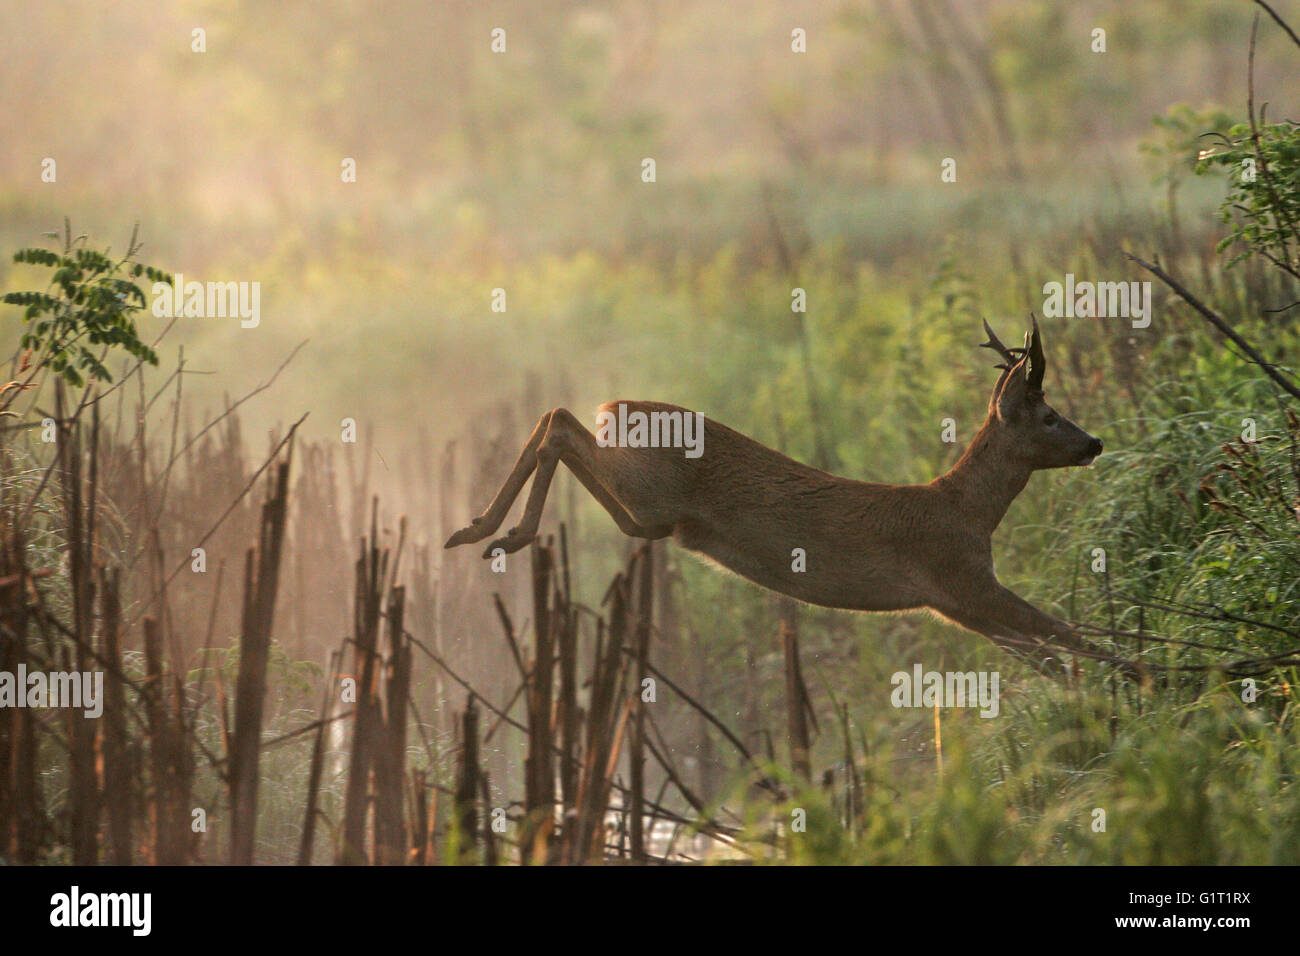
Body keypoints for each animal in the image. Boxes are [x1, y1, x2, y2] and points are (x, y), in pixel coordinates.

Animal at [445, 318, 1133, 678]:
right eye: (1048, 414)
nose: (1095, 442)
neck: (967, 509)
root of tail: (613, 406)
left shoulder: (959, 606)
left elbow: (1053, 652)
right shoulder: (963, 577)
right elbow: (1070, 633)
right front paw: (1145, 682)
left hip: (654, 516)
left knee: (556, 421)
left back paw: (478, 529)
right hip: (652, 494)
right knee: (561, 424)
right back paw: (498, 533)